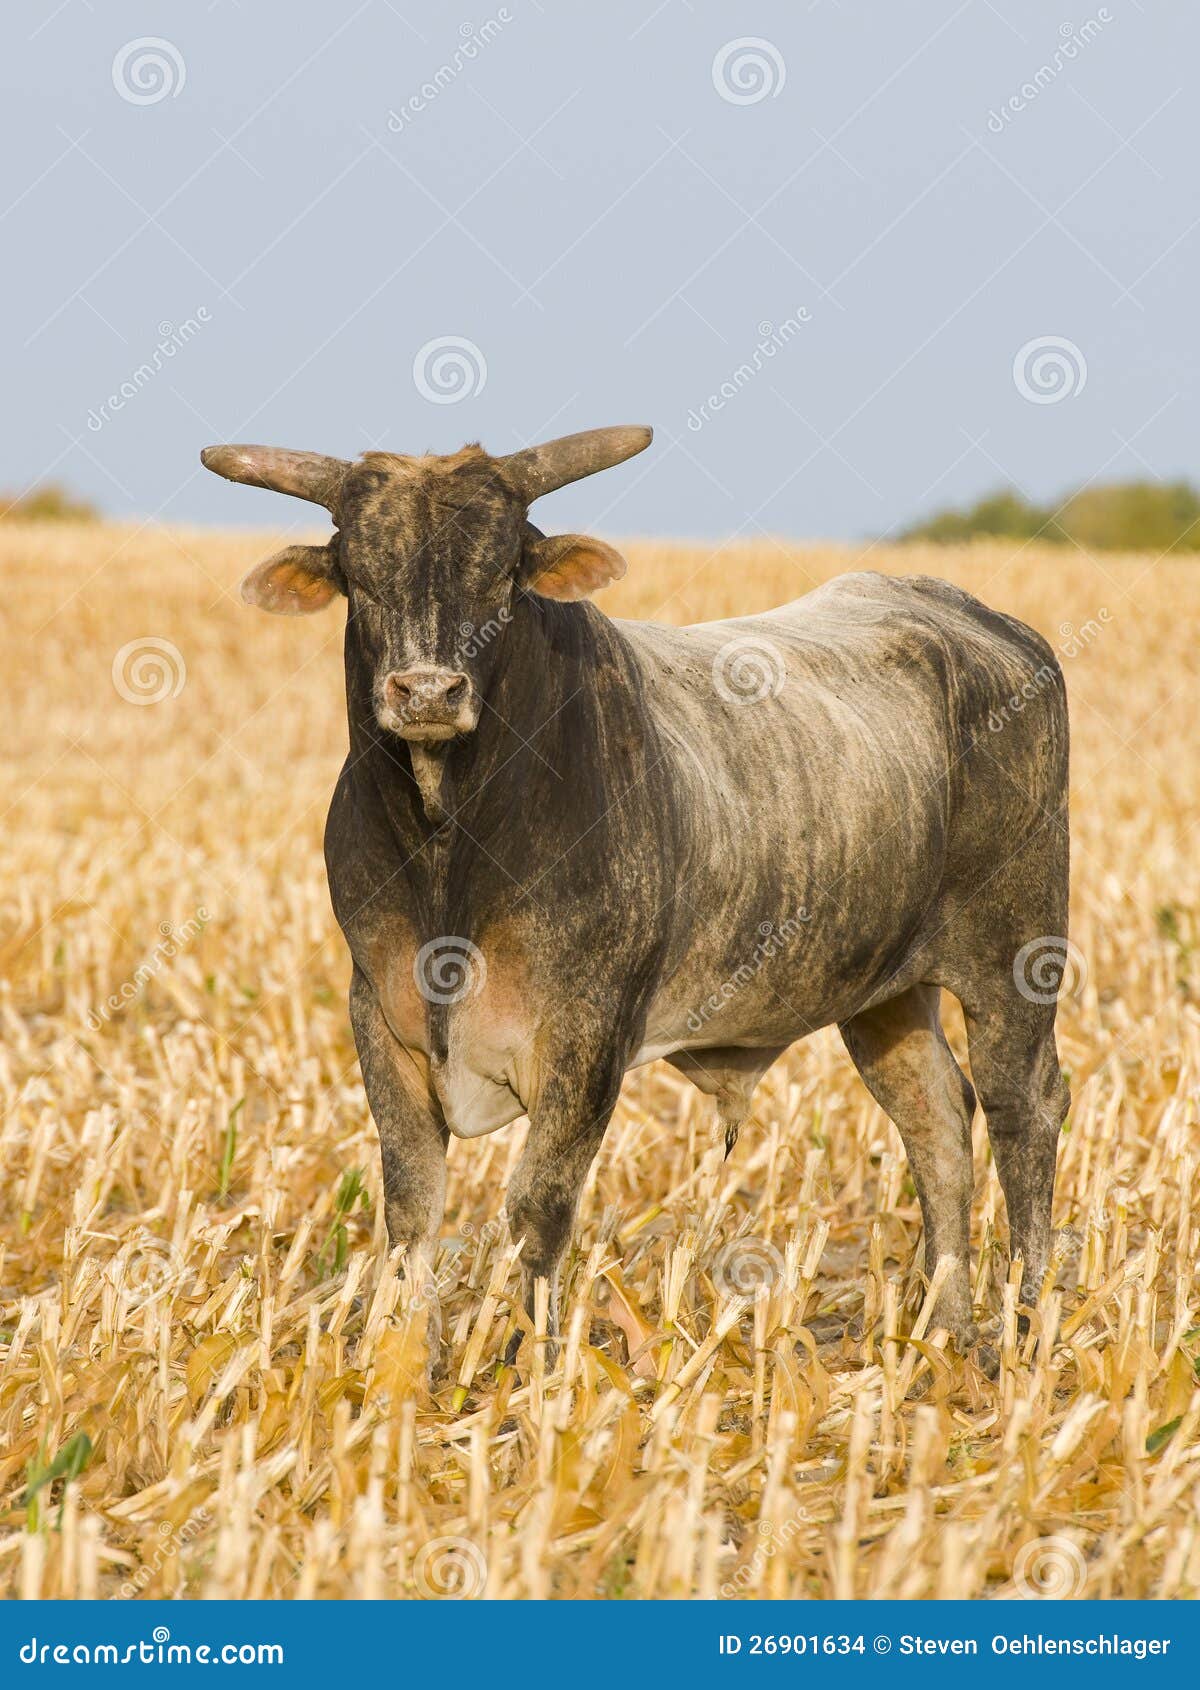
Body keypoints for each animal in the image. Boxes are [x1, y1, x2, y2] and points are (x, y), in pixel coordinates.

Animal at [201, 426, 1070, 1363]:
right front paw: (400, 1358)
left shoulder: (588, 1035)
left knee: (1023, 1110)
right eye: (359, 574)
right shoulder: (382, 1016)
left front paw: (529, 1362)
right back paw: (945, 1333)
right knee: (937, 1120)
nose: (427, 692)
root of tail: (982, 622)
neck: (447, 848)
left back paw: (1028, 1329)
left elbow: (536, 1208)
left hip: (1015, 958)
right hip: (883, 990)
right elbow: (411, 1205)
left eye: (503, 572)